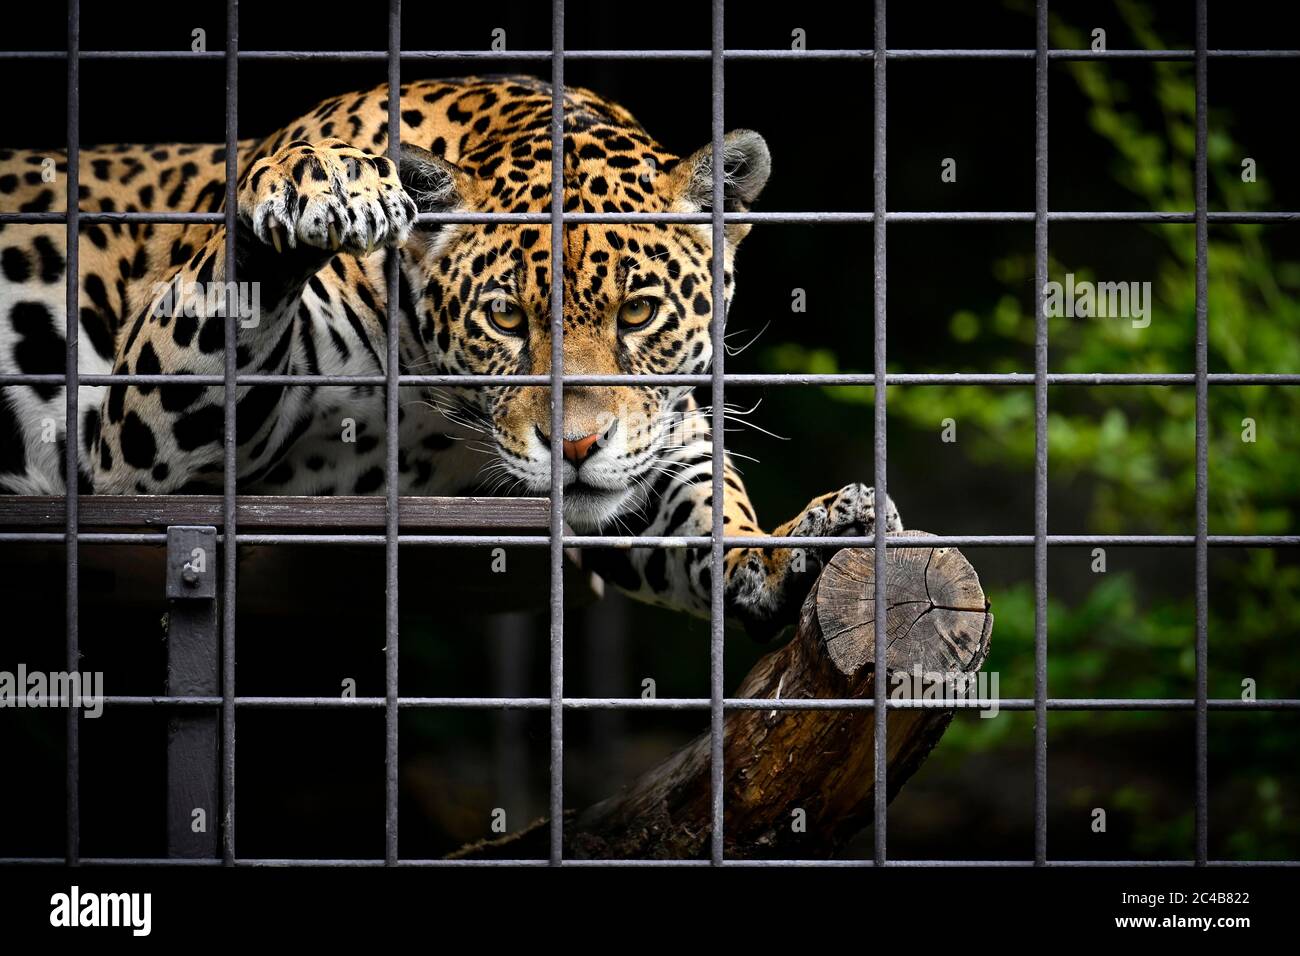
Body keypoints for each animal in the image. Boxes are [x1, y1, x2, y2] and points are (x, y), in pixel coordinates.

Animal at [0, 75, 902, 637]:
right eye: (504, 317)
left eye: (639, 312)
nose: (575, 447)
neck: (437, 413)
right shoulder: (130, 454)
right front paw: (313, 184)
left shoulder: (652, 444)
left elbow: (704, 503)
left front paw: (794, 546)